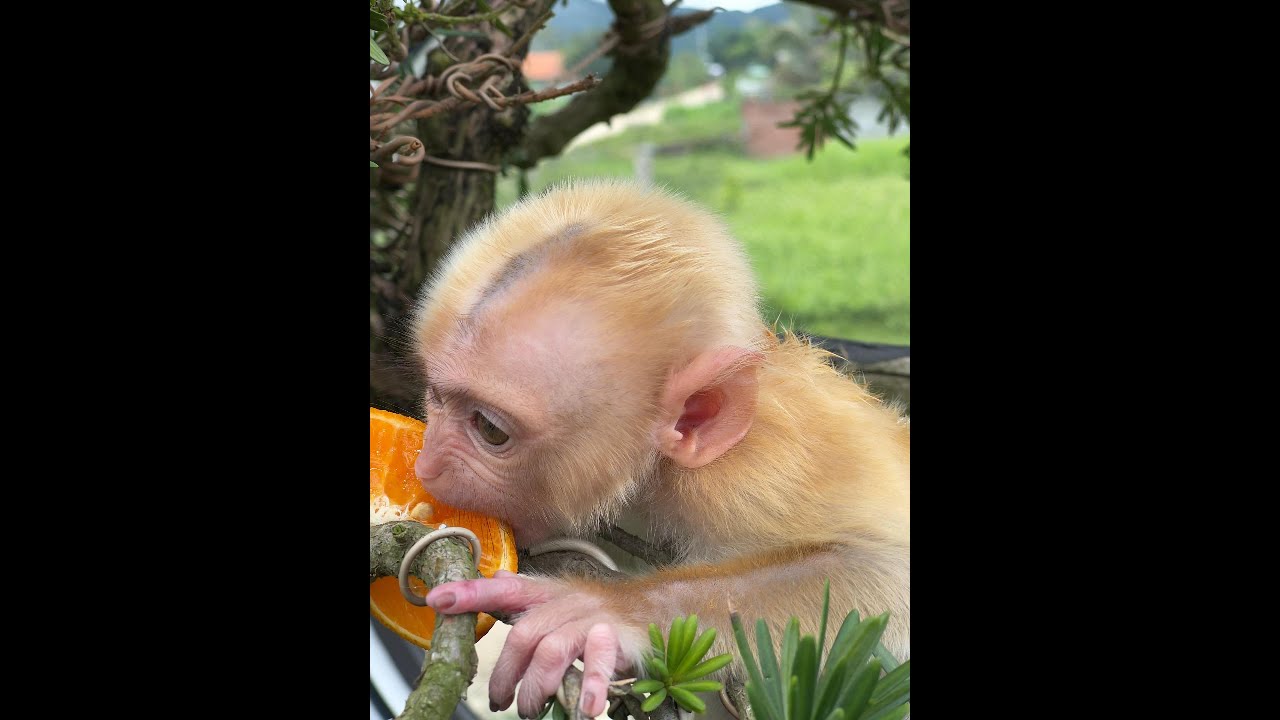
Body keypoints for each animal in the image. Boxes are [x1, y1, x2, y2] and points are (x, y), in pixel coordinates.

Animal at [408, 180, 909, 719]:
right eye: (435, 398)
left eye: (490, 429)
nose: (426, 468)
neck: (656, 476)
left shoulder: (751, 480)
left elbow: (888, 569)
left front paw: (607, 612)